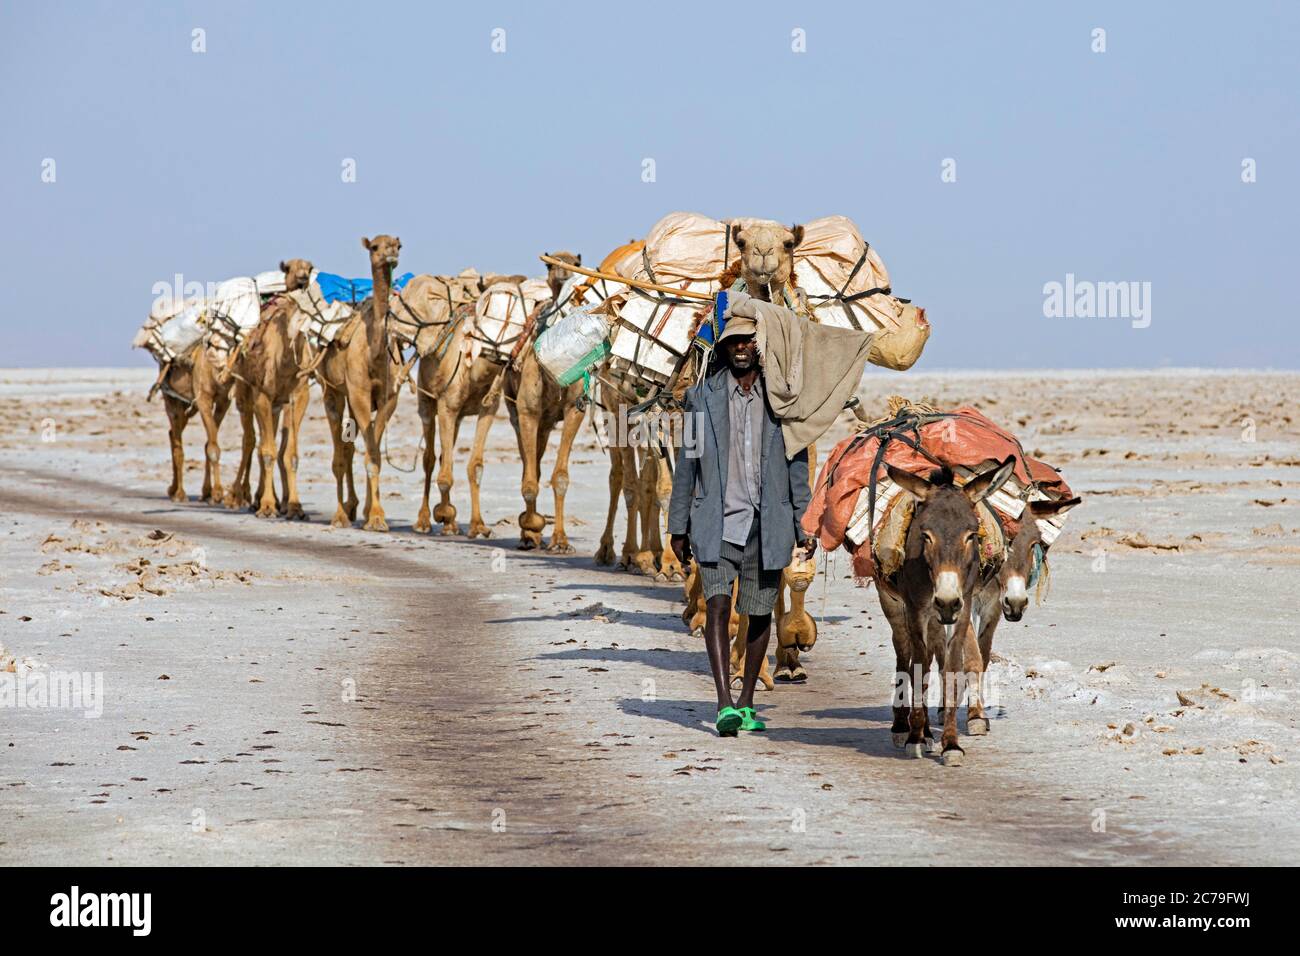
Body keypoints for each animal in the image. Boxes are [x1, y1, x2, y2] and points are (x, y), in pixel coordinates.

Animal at [309, 232, 405, 530]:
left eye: (398, 245)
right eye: (375, 246)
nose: (391, 254)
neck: (375, 354)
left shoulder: (388, 398)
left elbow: (374, 453)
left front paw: (375, 515)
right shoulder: (359, 393)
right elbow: (366, 452)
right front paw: (373, 517)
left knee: (351, 447)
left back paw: (354, 508)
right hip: (332, 390)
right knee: (340, 452)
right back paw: (341, 514)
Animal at [504, 252, 587, 554]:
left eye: (576, 261)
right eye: (549, 264)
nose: (563, 272)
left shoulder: (574, 410)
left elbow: (560, 476)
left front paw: (560, 540)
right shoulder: (528, 412)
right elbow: (529, 481)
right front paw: (531, 528)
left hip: (547, 423)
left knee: (538, 464)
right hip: (515, 412)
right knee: (529, 467)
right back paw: (529, 533)